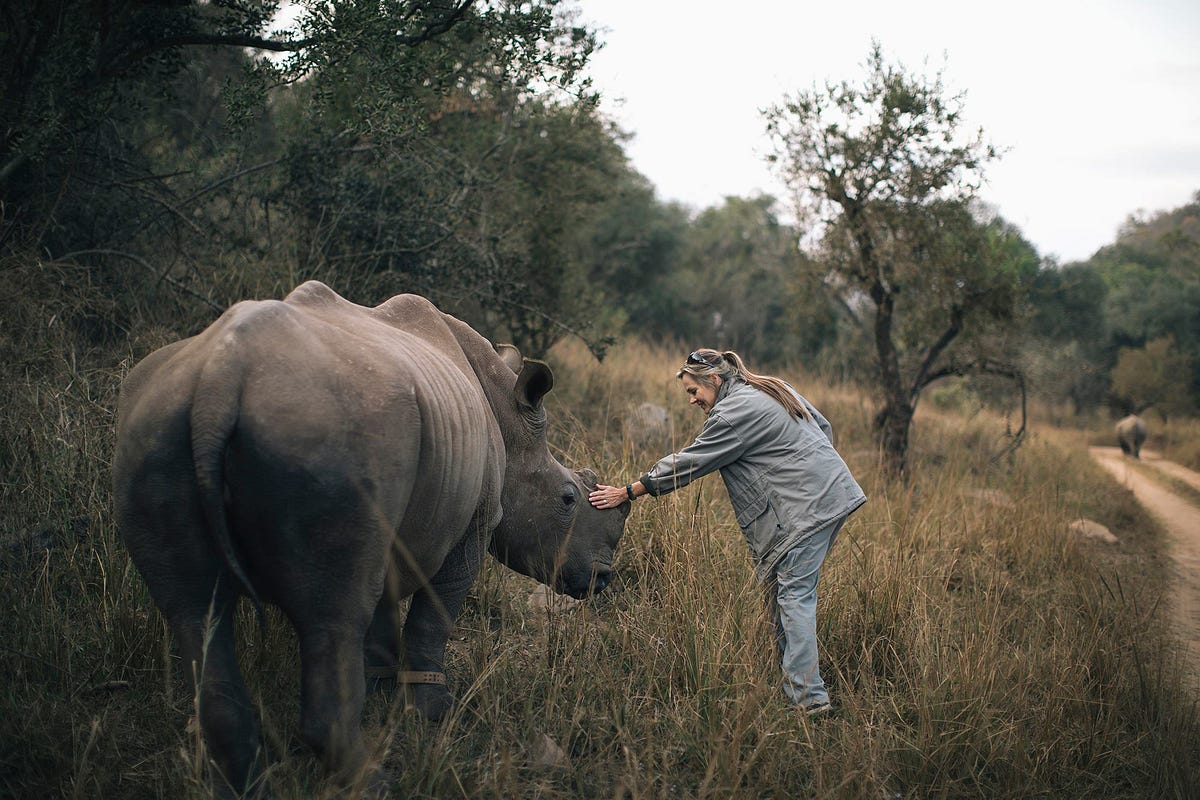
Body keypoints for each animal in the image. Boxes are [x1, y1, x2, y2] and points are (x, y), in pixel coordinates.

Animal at [112, 281, 628, 794]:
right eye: (567, 499)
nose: (601, 579)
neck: (507, 415)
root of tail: (220, 379)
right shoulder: (476, 521)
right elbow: (434, 611)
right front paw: (433, 709)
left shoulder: (396, 515)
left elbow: (383, 602)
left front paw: (382, 684)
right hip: (333, 432)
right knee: (335, 613)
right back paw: (373, 782)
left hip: (154, 426)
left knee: (195, 611)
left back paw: (249, 785)